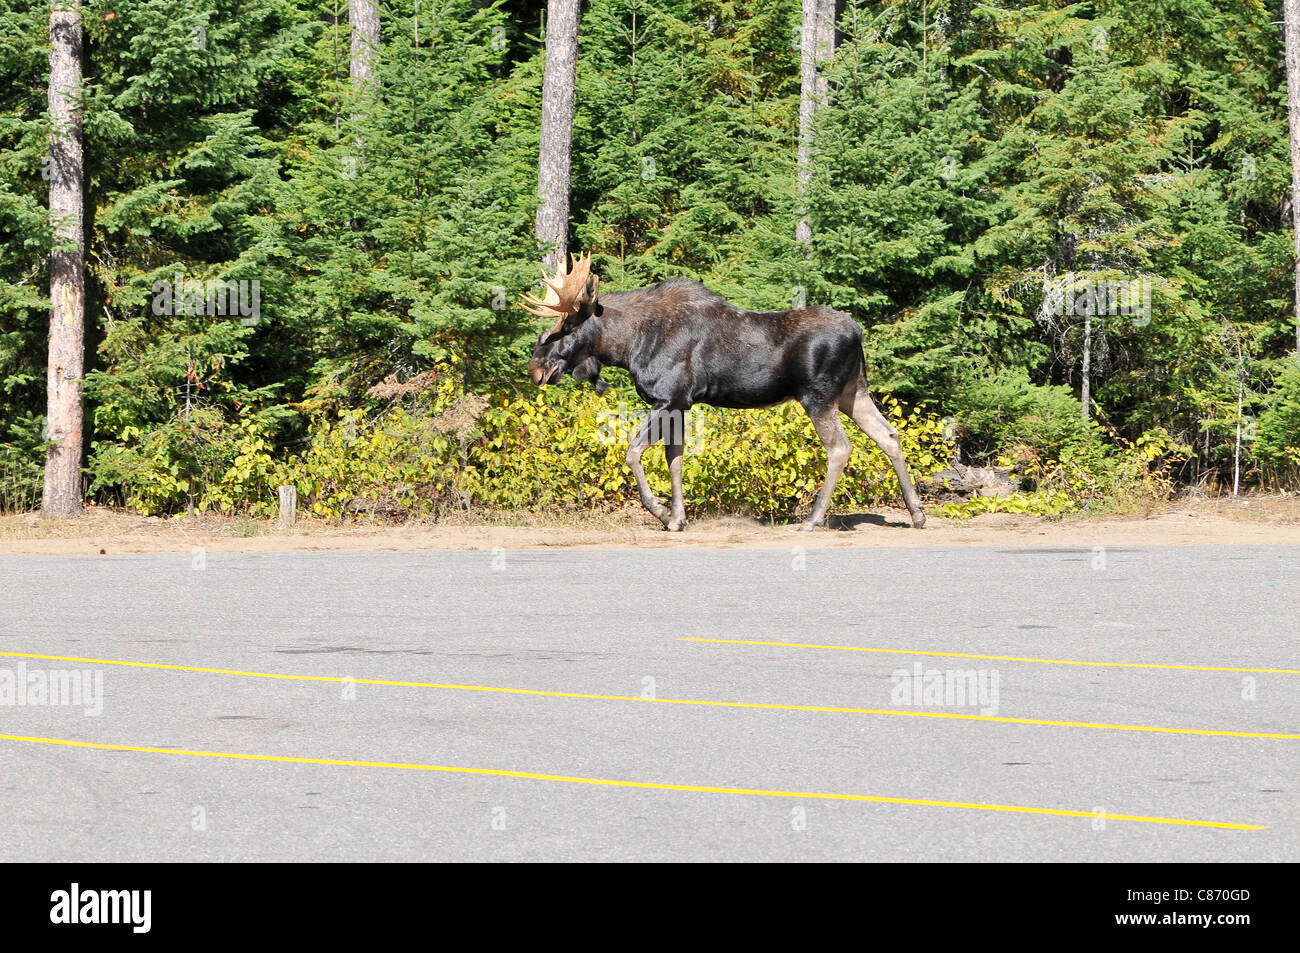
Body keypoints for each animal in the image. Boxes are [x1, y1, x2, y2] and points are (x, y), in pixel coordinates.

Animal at [522, 254, 927, 532]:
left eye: (567, 325)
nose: (536, 368)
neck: (627, 345)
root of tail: (859, 333)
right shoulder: (680, 405)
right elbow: (674, 459)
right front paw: (677, 519)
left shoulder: (669, 398)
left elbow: (633, 451)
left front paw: (661, 511)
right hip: (852, 392)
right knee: (889, 435)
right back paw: (917, 513)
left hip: (819, 395)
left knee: (841, 448)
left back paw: (812, 519)